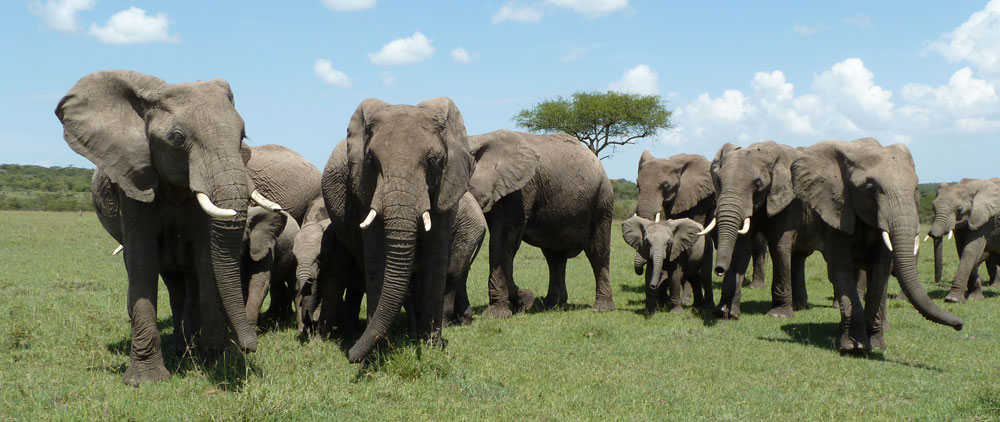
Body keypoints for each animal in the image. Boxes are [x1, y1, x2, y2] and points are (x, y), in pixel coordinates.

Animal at [58, 70, 279, 385]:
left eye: (243, 135)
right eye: (177, 138)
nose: (249, 347)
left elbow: (205, 259)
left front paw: (215, 362)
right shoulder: (134, 181)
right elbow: (142, 259)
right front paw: (145, 380)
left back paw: (187, 347)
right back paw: (178, 346)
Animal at [321, 97, 474, 363]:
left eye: (433, 161)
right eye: (371, 161)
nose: (351, 357)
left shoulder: (448, 187)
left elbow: (436, 257)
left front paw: (432, 346)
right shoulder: (364, 189)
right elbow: (376, 256)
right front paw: (379, 349)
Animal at [467, 130, 614, 317]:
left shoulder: (521, 190)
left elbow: (504, 242)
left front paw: (499, 314)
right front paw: (524, 301)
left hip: (602, 200)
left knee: (597, 252)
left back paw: (601, 309)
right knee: (554, 258)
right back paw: (550, 306)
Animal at [785, 138, 962, 351]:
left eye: (916, 189)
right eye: (870, 188)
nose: (960, 325)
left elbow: (880, 270)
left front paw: (875, 345)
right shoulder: (837, 210)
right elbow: (840, 268)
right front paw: (853, 347)